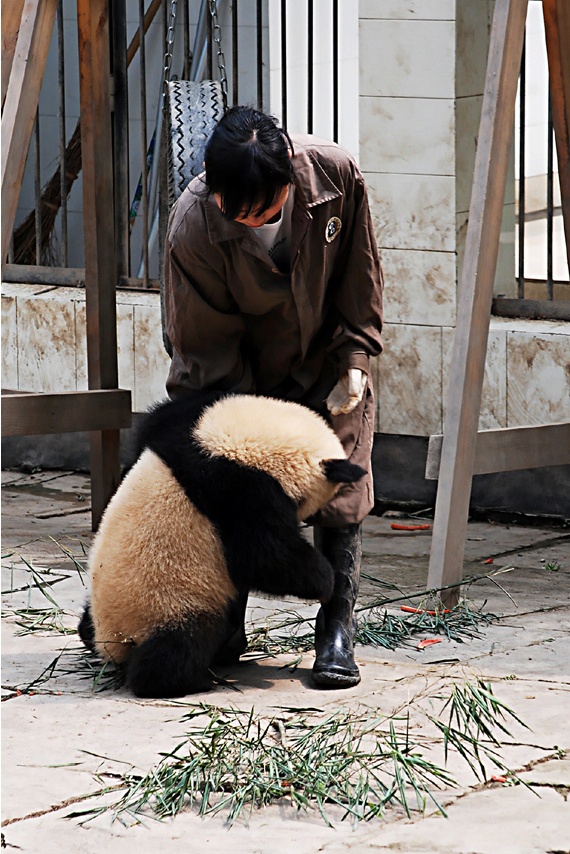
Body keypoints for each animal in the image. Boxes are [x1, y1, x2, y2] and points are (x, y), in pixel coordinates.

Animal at [78, 392, 365, 698]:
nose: (315, 516)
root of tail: (114, 640)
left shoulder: (181, 424)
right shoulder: (245, 492)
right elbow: (266, 558)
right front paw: (325, 580)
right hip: (172, 605)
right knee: (177, 648)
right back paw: (189, 681)